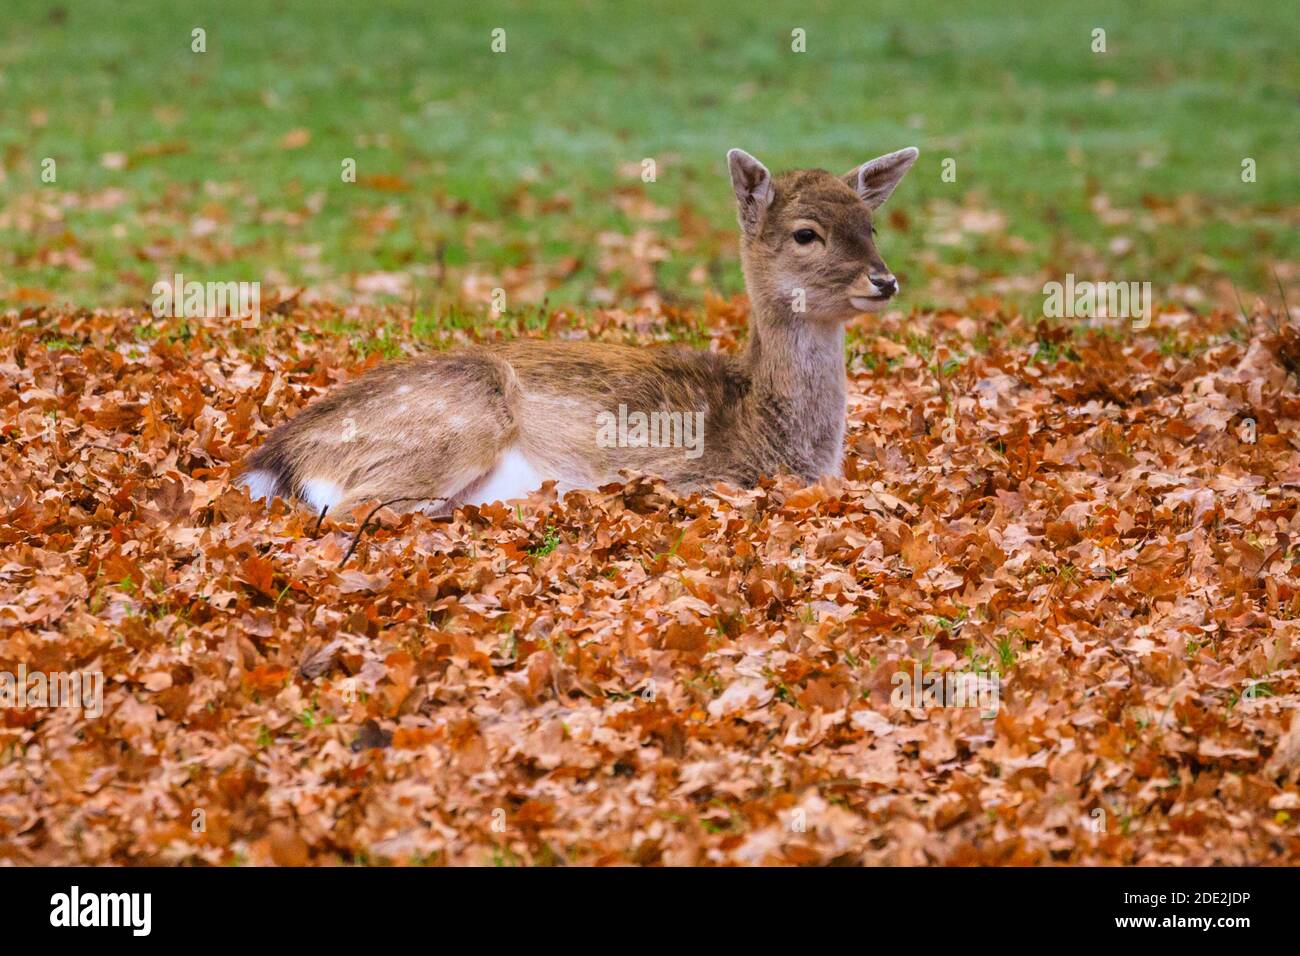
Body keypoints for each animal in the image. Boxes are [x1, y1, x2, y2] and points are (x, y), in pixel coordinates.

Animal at [238, 146, 919, 518]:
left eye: (871, 227)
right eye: (807, 233)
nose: (884, 280)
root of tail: (279, 461)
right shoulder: (699, 478)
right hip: (457, 422)